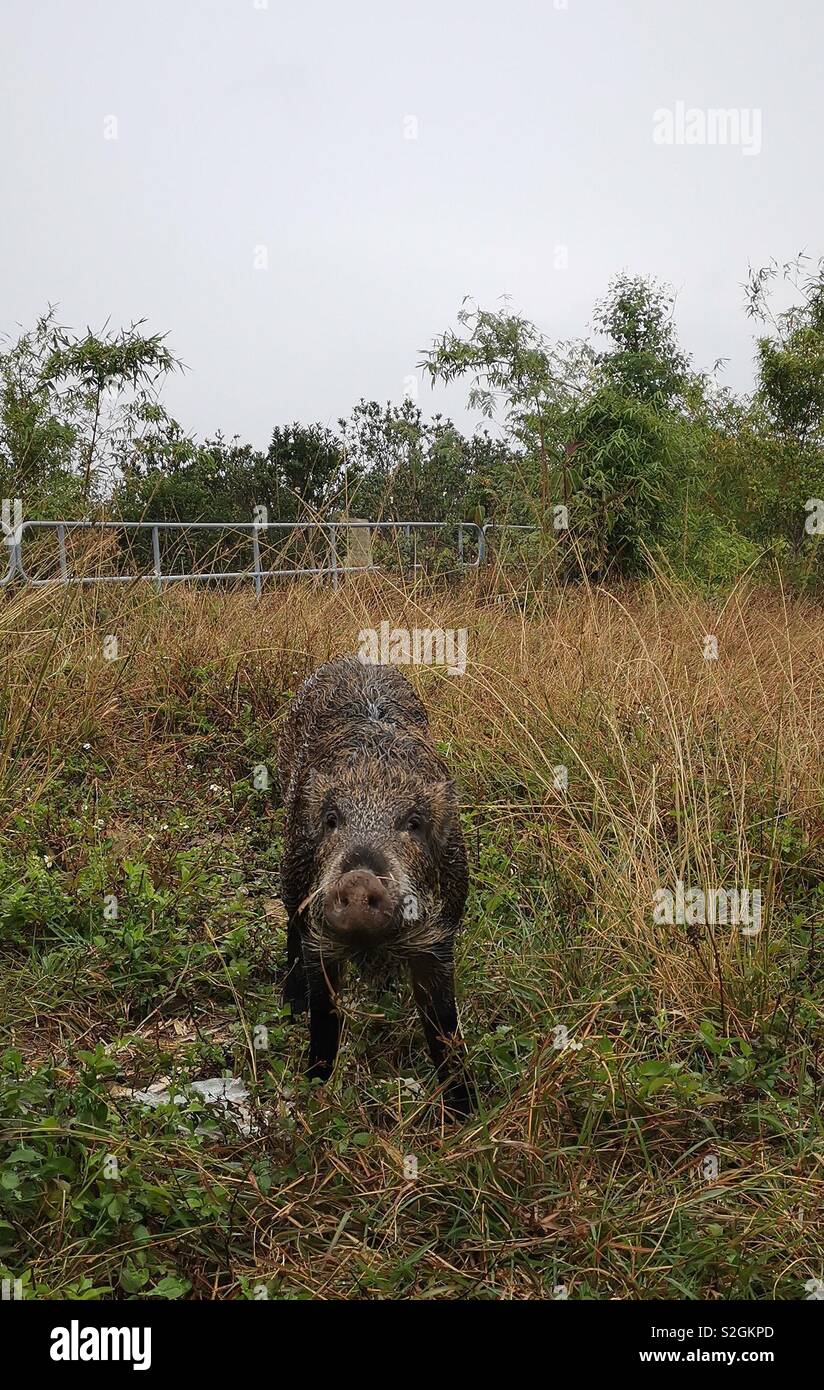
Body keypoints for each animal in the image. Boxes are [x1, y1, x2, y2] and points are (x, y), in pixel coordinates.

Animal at [278, 655, 471, 1113]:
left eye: (414, 824)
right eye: (332, 820)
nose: (360, 876)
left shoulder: (438, 936)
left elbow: (444, 1025)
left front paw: (467, 1110)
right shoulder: (321, 937)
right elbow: (325, 1016)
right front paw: (313, 1088)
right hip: (290, 867)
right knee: (290, 924)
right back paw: (290, 1004)